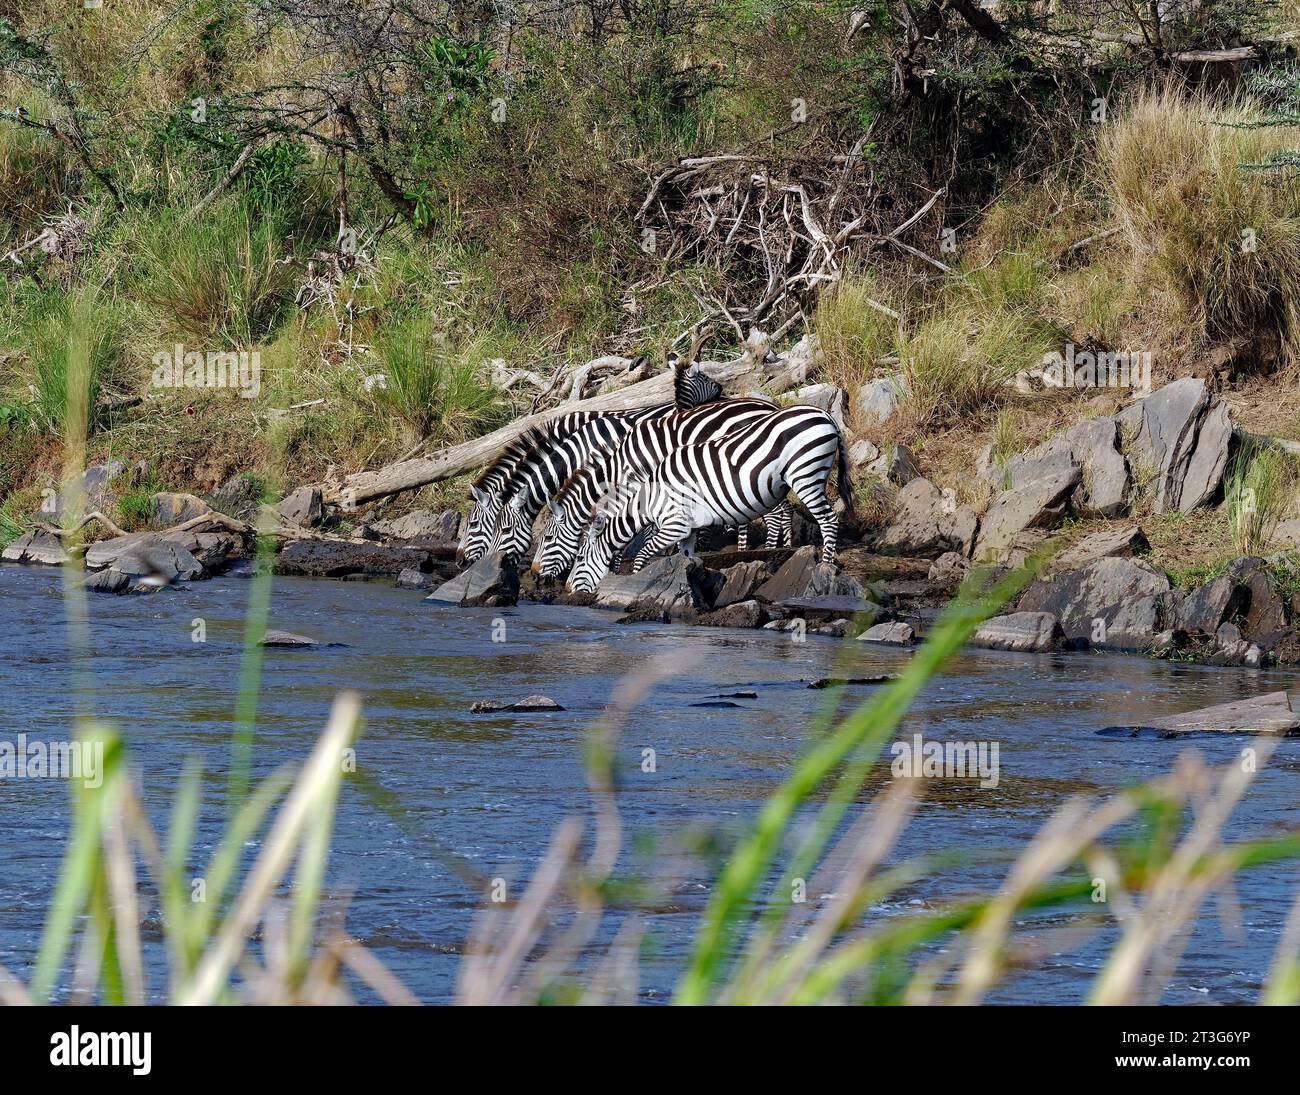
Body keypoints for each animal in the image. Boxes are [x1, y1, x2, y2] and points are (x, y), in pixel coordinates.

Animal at [566, 406, 855, 595]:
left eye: (579, 559)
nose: (569, 591)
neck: (650, 499)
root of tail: (826, 415)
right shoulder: (688, 530)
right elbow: (687, 558)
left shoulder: (674, 525)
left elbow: (644, 552)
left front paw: (635, 581)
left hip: (806, 475)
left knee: (828, 521)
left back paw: (826, 566)